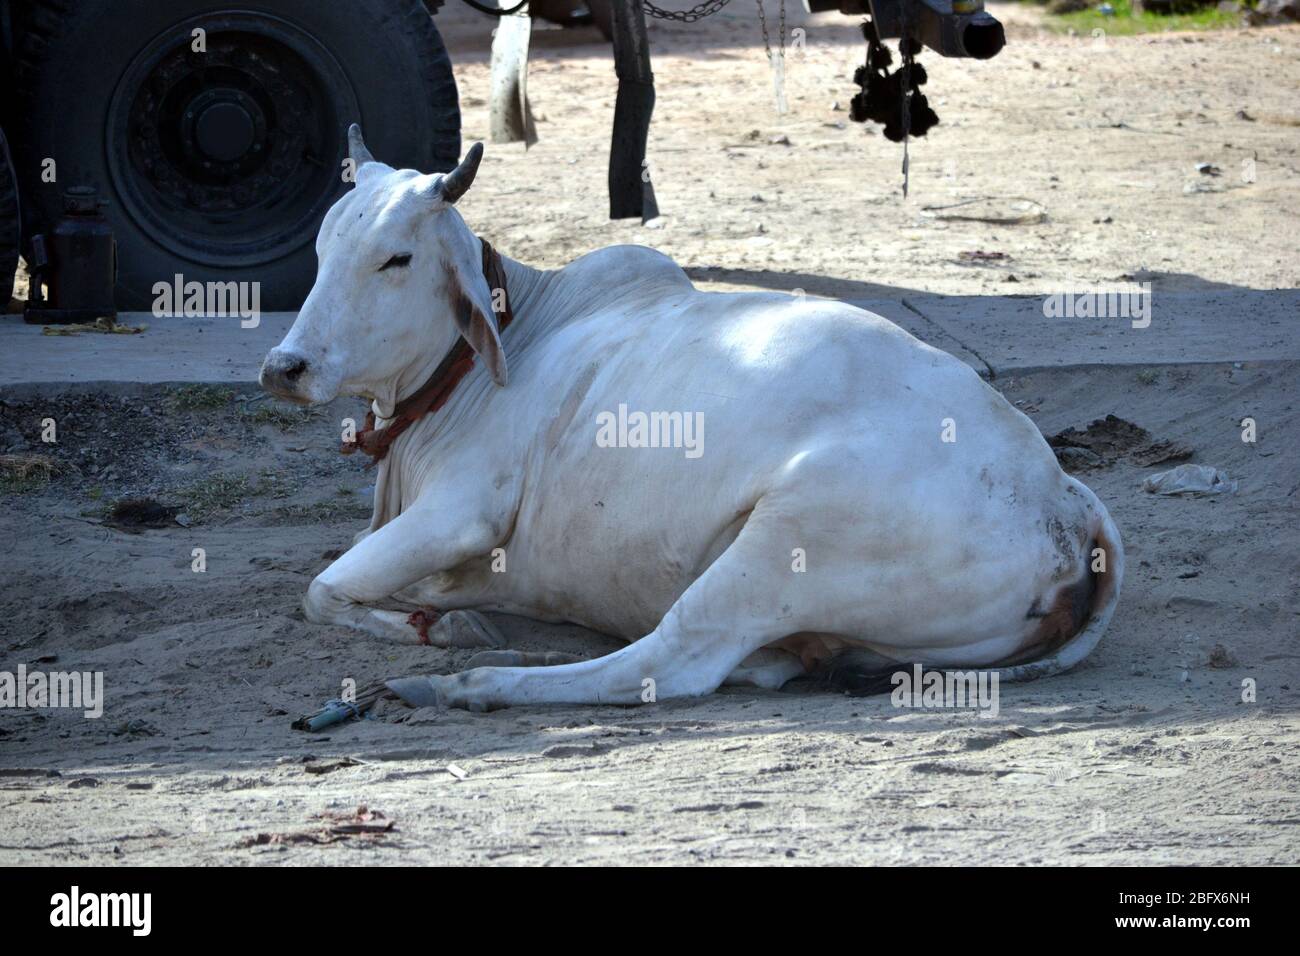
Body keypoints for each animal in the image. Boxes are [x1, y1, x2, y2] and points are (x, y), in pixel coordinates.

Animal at [259, 126, 1123, 712]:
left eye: (395, 258)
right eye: (324, 246)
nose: (283, 367)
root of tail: (1067, 499)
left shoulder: (462, 513)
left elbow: (319, 590)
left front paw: (446, 631)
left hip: (786, 543)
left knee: (669, 661)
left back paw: (468, 684)